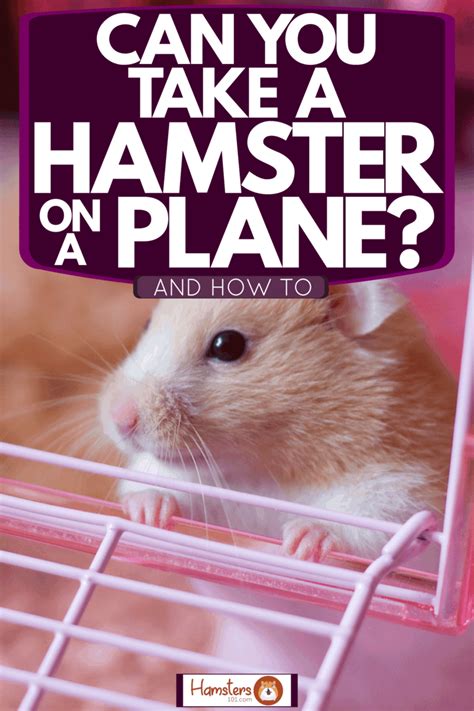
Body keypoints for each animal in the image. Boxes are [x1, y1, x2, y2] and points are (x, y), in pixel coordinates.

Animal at [99, 281, 456, 560]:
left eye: (227, 345)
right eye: (147, 323)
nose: (120, 418)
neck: (266, 469)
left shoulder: (404, 481)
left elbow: (372, 517)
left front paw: (301, 542)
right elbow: (159, 482)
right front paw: (147, 511)